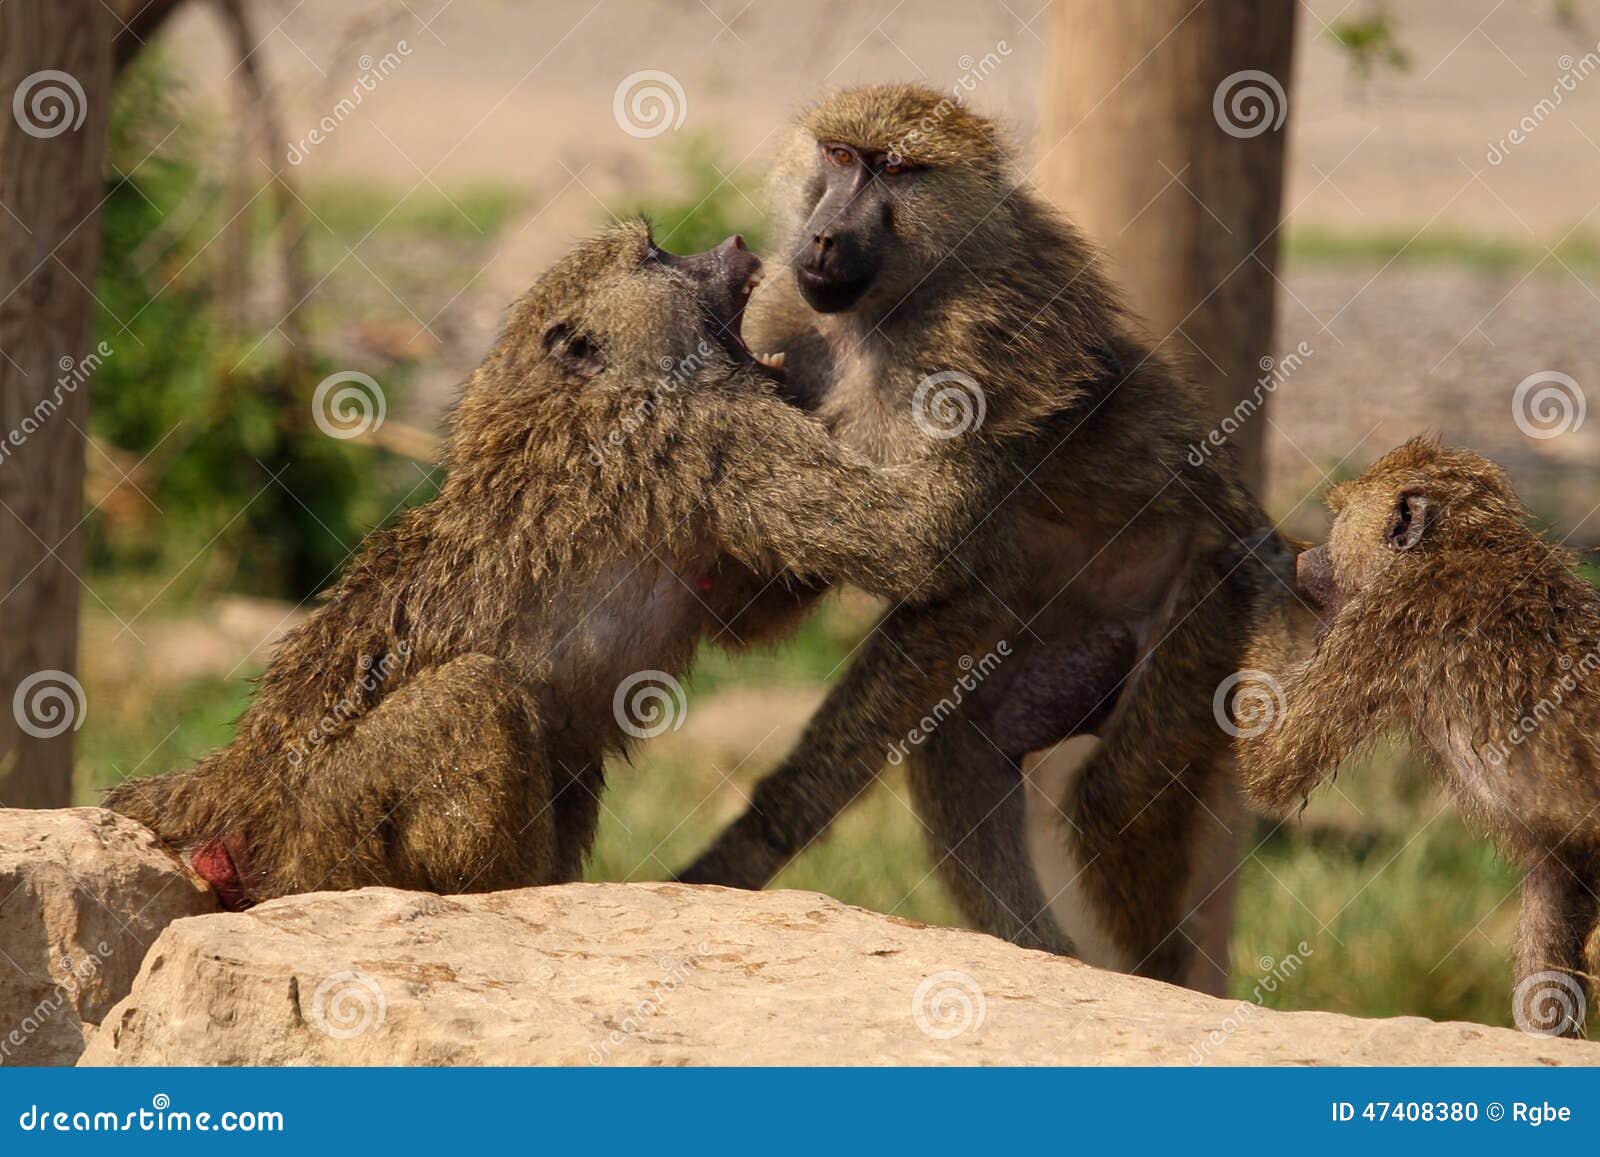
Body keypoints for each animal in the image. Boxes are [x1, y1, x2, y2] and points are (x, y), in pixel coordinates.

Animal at [104, 219, 992, 907]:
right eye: (658, 254)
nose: (737, 243)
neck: (579, 389)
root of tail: (236, 781)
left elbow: (745, 616)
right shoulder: (711, 433)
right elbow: (915, 546)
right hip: (325, 833)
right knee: (477, 695)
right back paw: (509, 888)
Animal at [677, 84, 1278, 989]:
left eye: (897, 170)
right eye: (841, 156)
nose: (823, 236)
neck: (886, 307)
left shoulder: (970, 350)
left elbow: (946, 566)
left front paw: (738, 859)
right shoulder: (786, 315)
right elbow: (762, 604)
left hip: (1212, 596)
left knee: (1111, 802)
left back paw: (1160, 980)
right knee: (961, 749)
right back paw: (1043, 956)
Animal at [1231, 438, 1600, 1037]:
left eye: (1338, 516)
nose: (1307, 558)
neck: (1460, 545)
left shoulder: (1387, 619)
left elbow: (1273, 761)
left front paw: (1255, 568)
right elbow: (1557, 887)